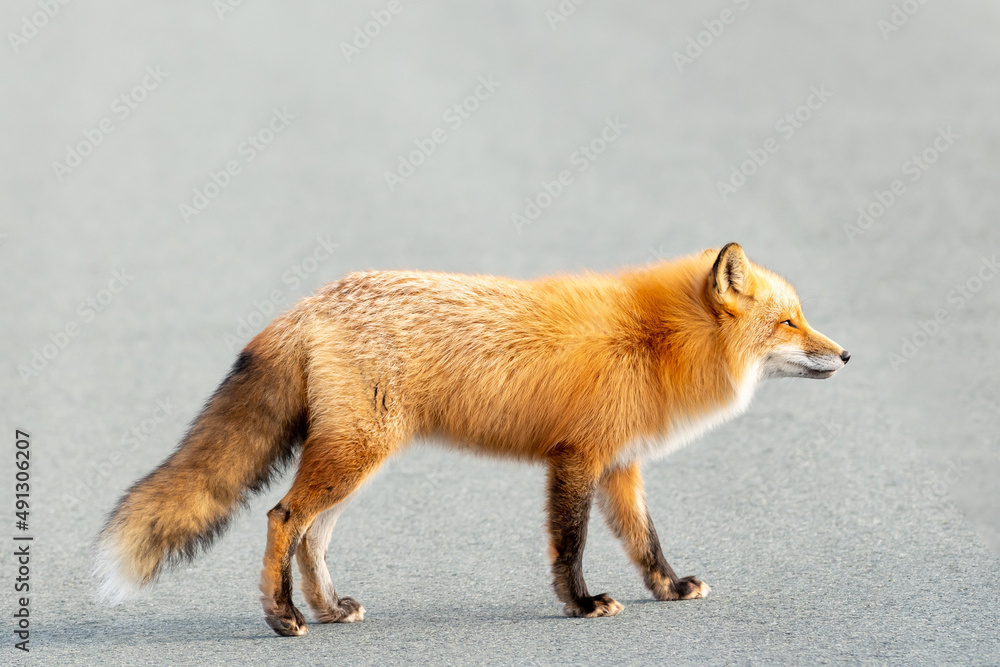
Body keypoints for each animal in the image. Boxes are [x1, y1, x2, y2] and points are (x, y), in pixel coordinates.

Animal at [94, 242, 849, 636]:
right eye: (789, 322)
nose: (845, 355)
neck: (653, 340)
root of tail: (309, 303)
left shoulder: (621, 464)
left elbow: (645, 540)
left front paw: (669, 587)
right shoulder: (576, 458)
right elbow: (571, 546)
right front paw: (580, 605)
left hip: (355, 462)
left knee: (310, 536)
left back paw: (329, 608)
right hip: (353, 457)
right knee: (283, 518)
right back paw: (283, 617)